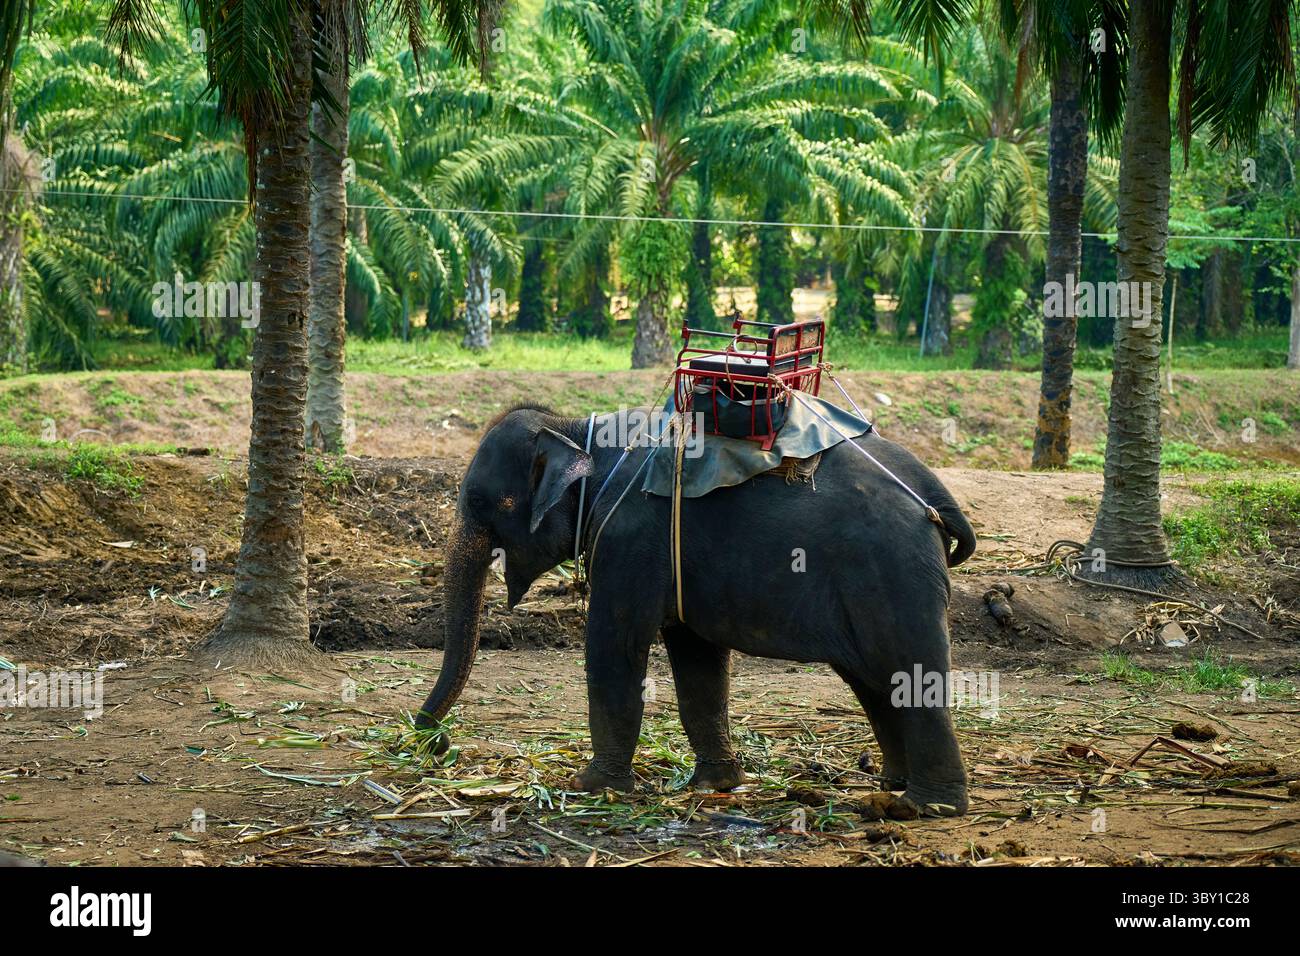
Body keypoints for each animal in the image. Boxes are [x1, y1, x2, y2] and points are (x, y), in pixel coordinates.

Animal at [414, 403, 977, 815]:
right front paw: (714, 784)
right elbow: (697, 660)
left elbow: (614, 649)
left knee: (909, 670)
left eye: (483, 503)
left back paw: (927, 808)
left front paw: (589, 787)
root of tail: (935, 494)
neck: (579, 432)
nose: (435, 744)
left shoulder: (629, 539)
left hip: (893, 572)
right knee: (873, 679)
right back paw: (892, 786)